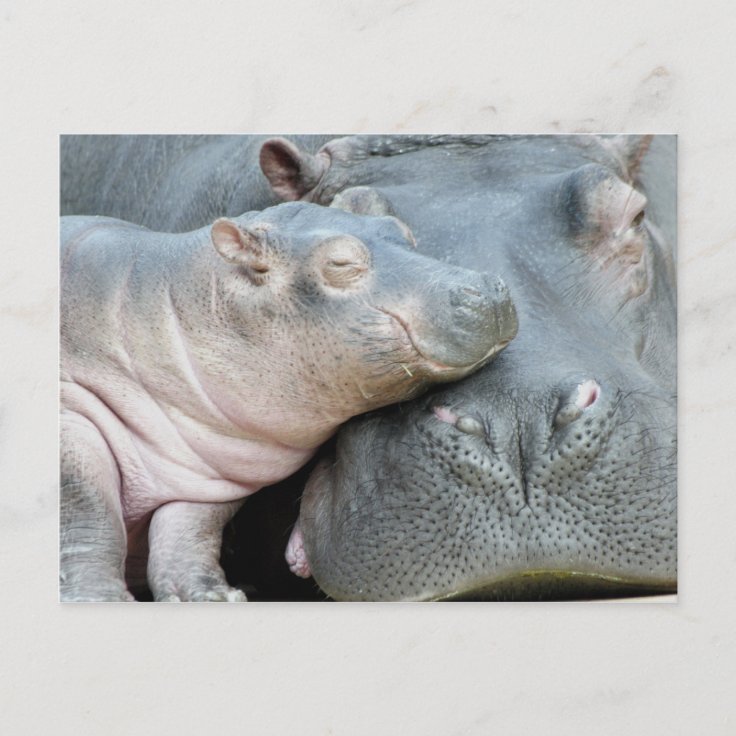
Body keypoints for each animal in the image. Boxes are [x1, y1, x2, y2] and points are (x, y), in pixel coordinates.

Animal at [60, 201, 517, 601]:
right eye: (340, 263)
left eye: (403, 231)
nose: (487, 289)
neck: (169, 296)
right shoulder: (73, 416)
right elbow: (87, 507)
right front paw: (98, 600)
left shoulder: (211, 464)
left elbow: (190, 531)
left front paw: (214, 597)